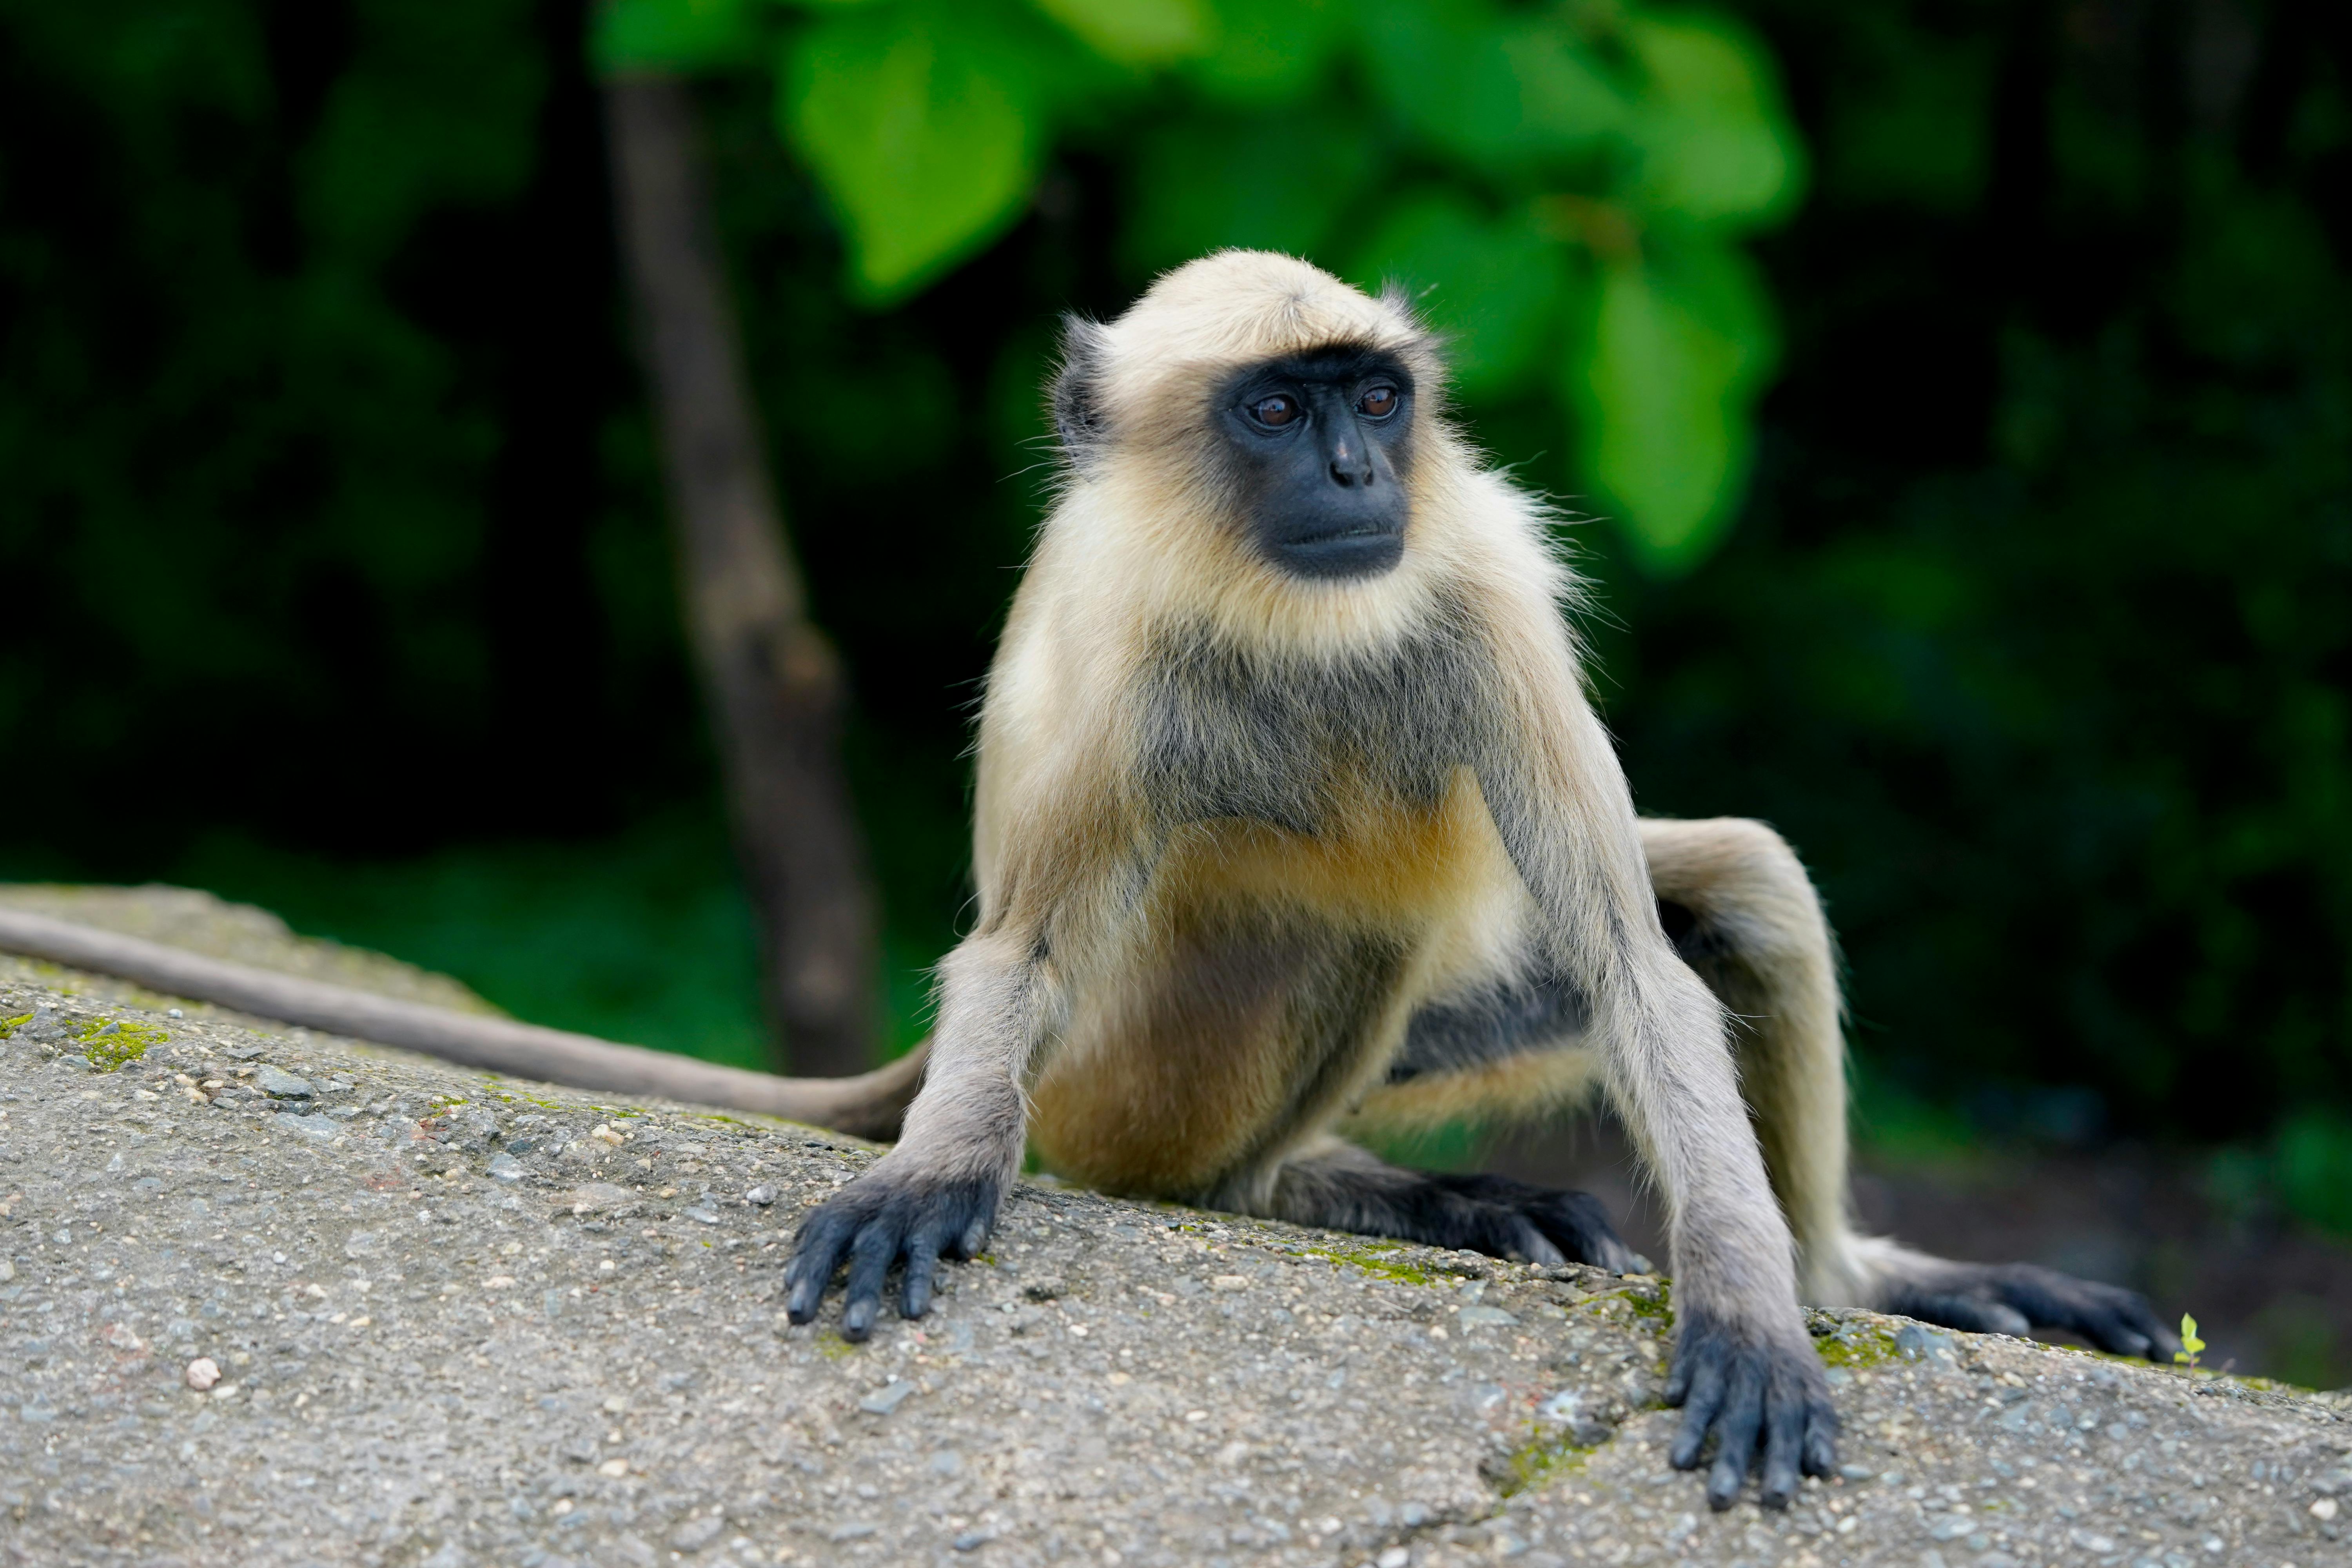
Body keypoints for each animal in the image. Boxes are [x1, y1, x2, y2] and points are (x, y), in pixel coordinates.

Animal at [783, 251, 2175, 1510]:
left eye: (1375, 401)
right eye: (1275, 412)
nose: (1357, 472)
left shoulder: (1491, 606)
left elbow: (1634, 965)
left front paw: (1748, 1314)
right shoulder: (1130, 660)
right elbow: (1019, 955)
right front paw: (929, 1176)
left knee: (1742, 884)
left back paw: (1839, 1281)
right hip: (1118, 1082)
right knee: (1312, 979)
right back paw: (1361, 1193)